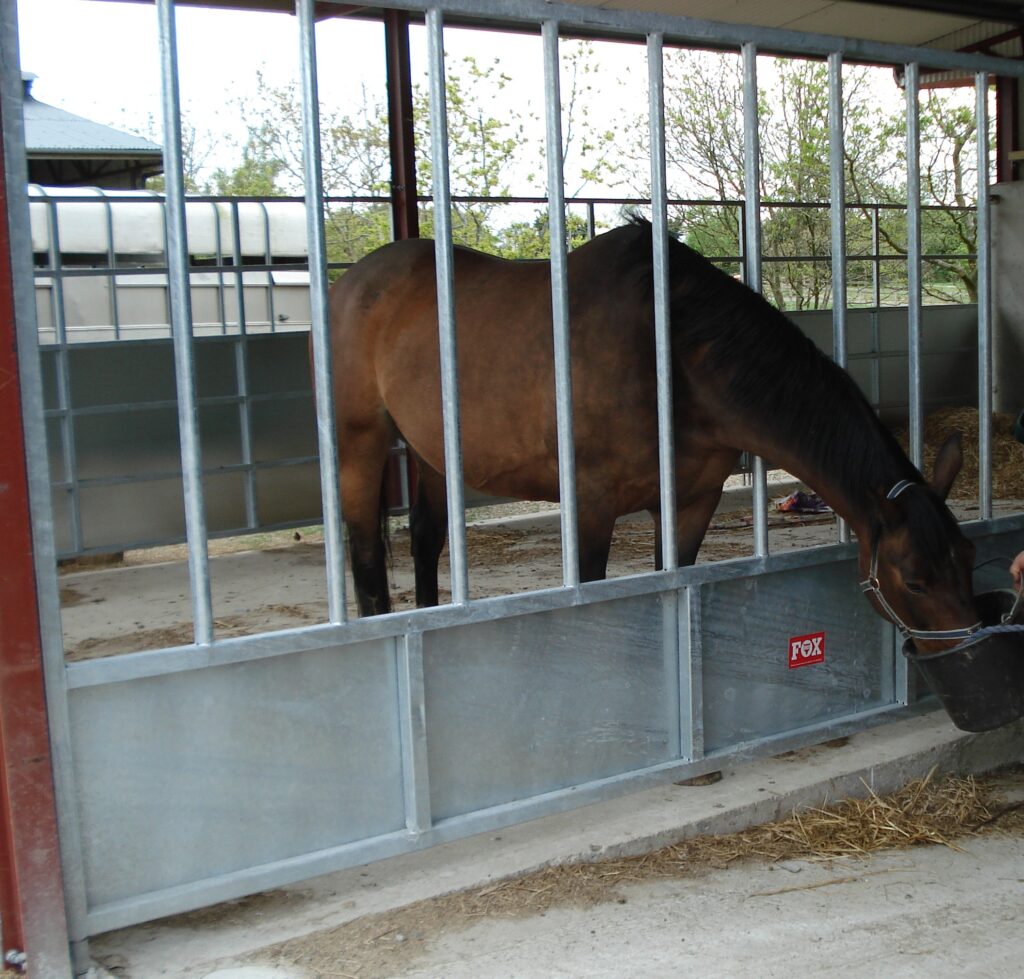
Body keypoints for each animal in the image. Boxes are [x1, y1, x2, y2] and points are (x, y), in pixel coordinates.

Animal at [325, 218, 979, 649]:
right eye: (914, 580)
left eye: (968, 560)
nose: (971, 649)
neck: (668, 353)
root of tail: (355, 281)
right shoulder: (591, 506)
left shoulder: (690, 503)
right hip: (359, 443)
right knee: (365, 555)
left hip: (434, 451)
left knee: (426, 539)